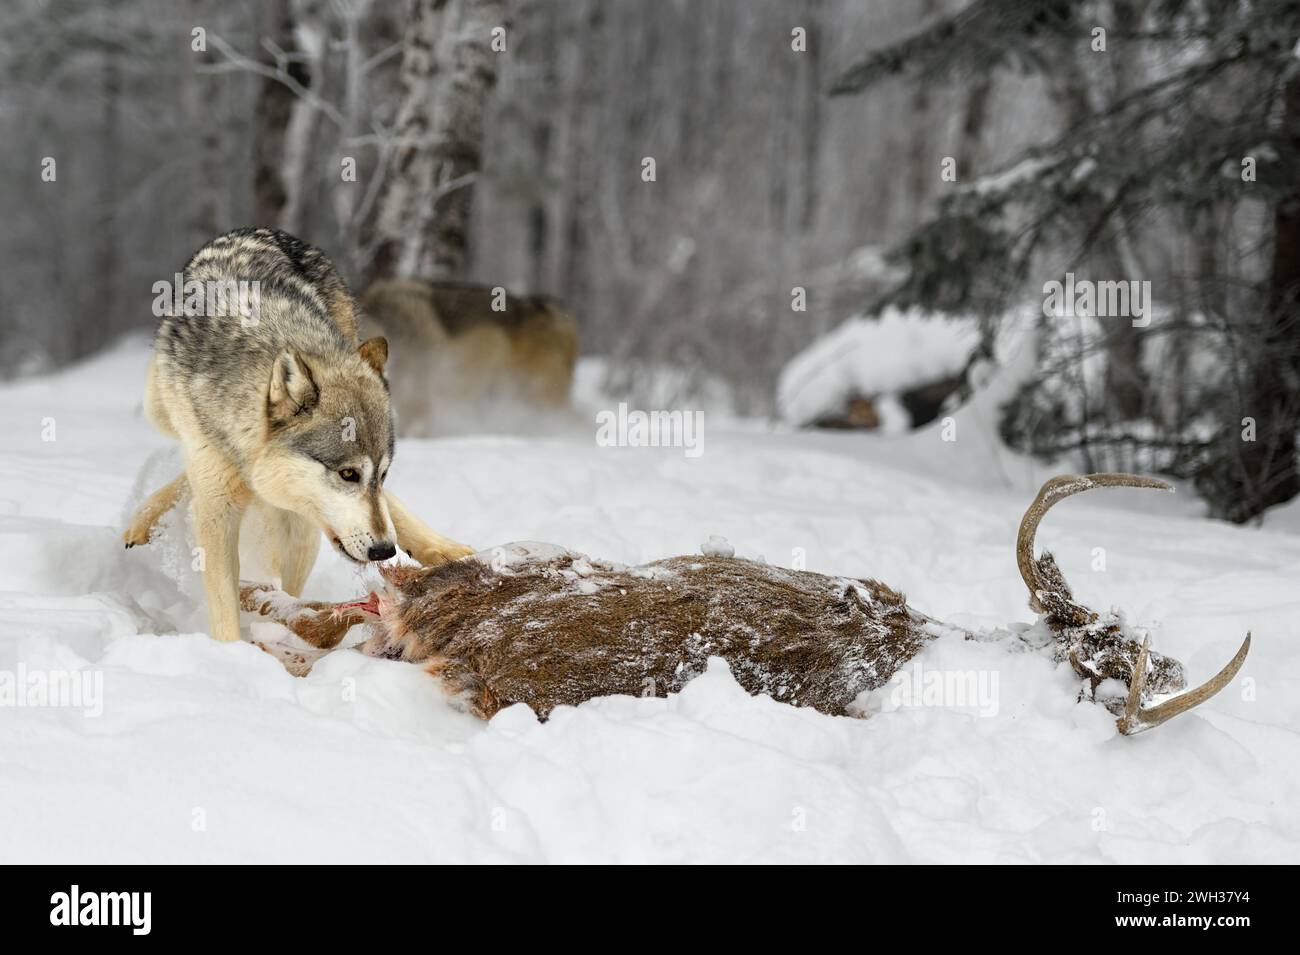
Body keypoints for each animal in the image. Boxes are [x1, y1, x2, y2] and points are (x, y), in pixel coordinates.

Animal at [125, 227, 472, 643]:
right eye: (348, 474)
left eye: (383, 473)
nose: (384, 552)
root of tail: (260, 231)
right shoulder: (219, 506)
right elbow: (224, 605)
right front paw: (231, 651)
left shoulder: (302, 517)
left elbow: (294, 592)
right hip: (158, 408)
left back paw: (443, 549)